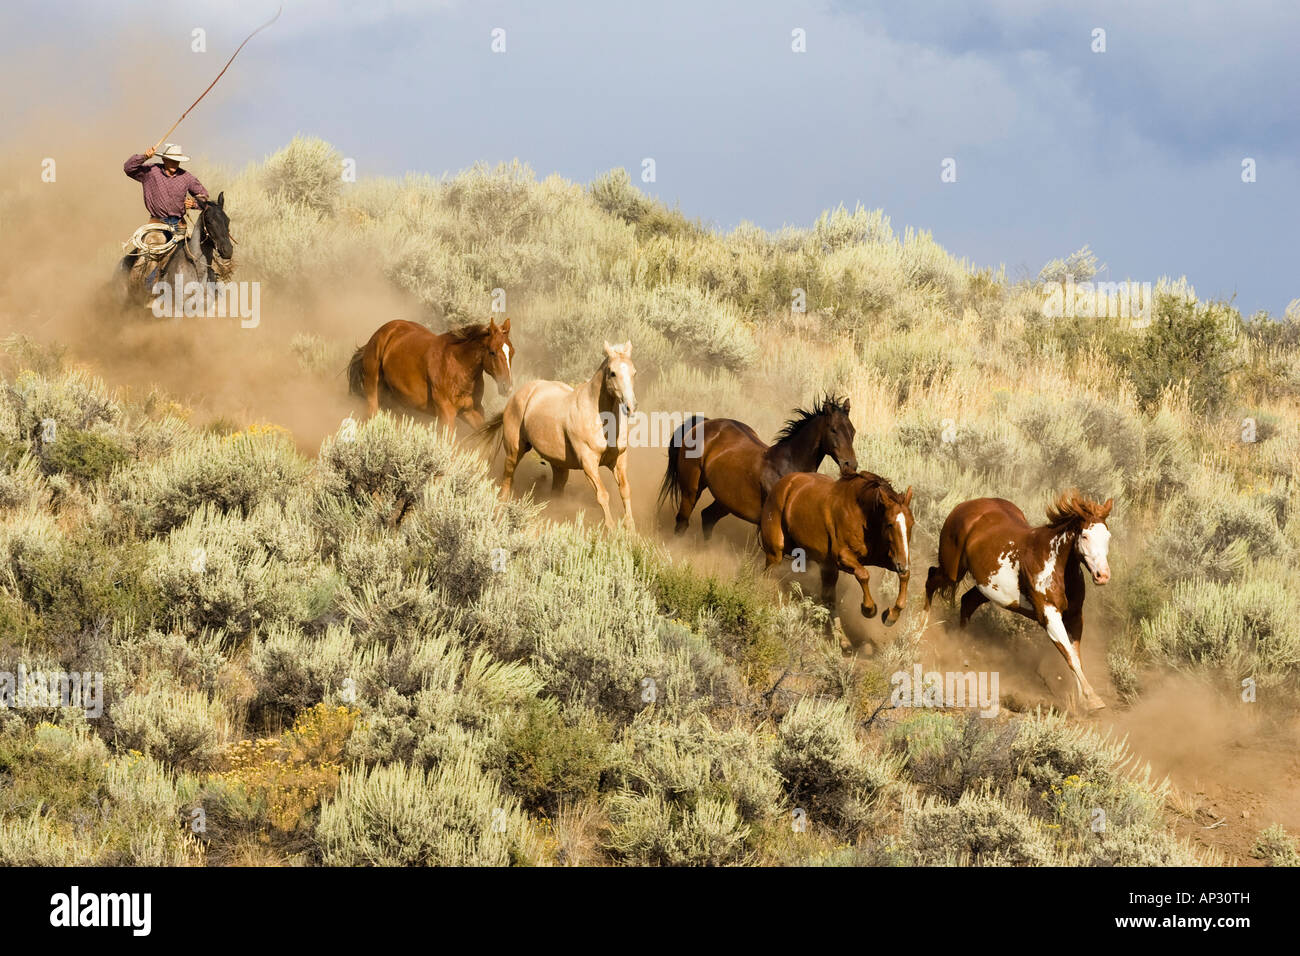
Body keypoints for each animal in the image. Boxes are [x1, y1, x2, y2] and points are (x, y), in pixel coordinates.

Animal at [348, 318, 514, 431]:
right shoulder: (446, 414)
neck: (458, 366)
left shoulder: (471, 412)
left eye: (512, 352)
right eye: (492, 352)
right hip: (372, 391)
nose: (507, 387)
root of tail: (382, 331)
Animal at [478, 341, 637, 530]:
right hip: (514, 451)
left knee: (556, 490)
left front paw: (631, 529)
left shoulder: (619, 460)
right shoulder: (589, 462)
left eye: (634, 372)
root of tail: (517, 395)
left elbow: (625, 491)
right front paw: (611, 529)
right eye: (612, 373)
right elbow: (603, 494)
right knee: (507, 479)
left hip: (559, 465)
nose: (631, 407)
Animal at [658, 395, 858, 539]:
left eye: (853, 431)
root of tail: (704, 423)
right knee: (682, 521)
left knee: (707, 518)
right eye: (833, 429)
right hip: (692, 489)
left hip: (726, 500)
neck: (788, 466)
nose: (851, 465)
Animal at [761, 470, 914, 632]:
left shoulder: (883, 558)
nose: (902, 565)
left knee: (828, 599)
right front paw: (868, 609)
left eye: (912, 523)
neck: (862, 515)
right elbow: (863, 574)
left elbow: (905, 576)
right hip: (775, 554)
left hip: (825, 566)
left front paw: (891, 615)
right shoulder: (843, 558)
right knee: (769, 577)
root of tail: (783, 484)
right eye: (890, 524)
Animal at [922, 492, 1113, 712]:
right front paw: (1092, 699)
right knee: (931, 579)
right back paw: (919, 630)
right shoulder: (1049, 616)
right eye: (1085, 536)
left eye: (1108, 537)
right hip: (952, 571)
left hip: (985, 587)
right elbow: (1070, 656)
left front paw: (1084, 699)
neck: (1055, 563)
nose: (1102, 576)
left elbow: (1076, 657)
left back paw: (962, 653)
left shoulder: (1074, 616)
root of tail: (964, 506)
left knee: (966, 602)